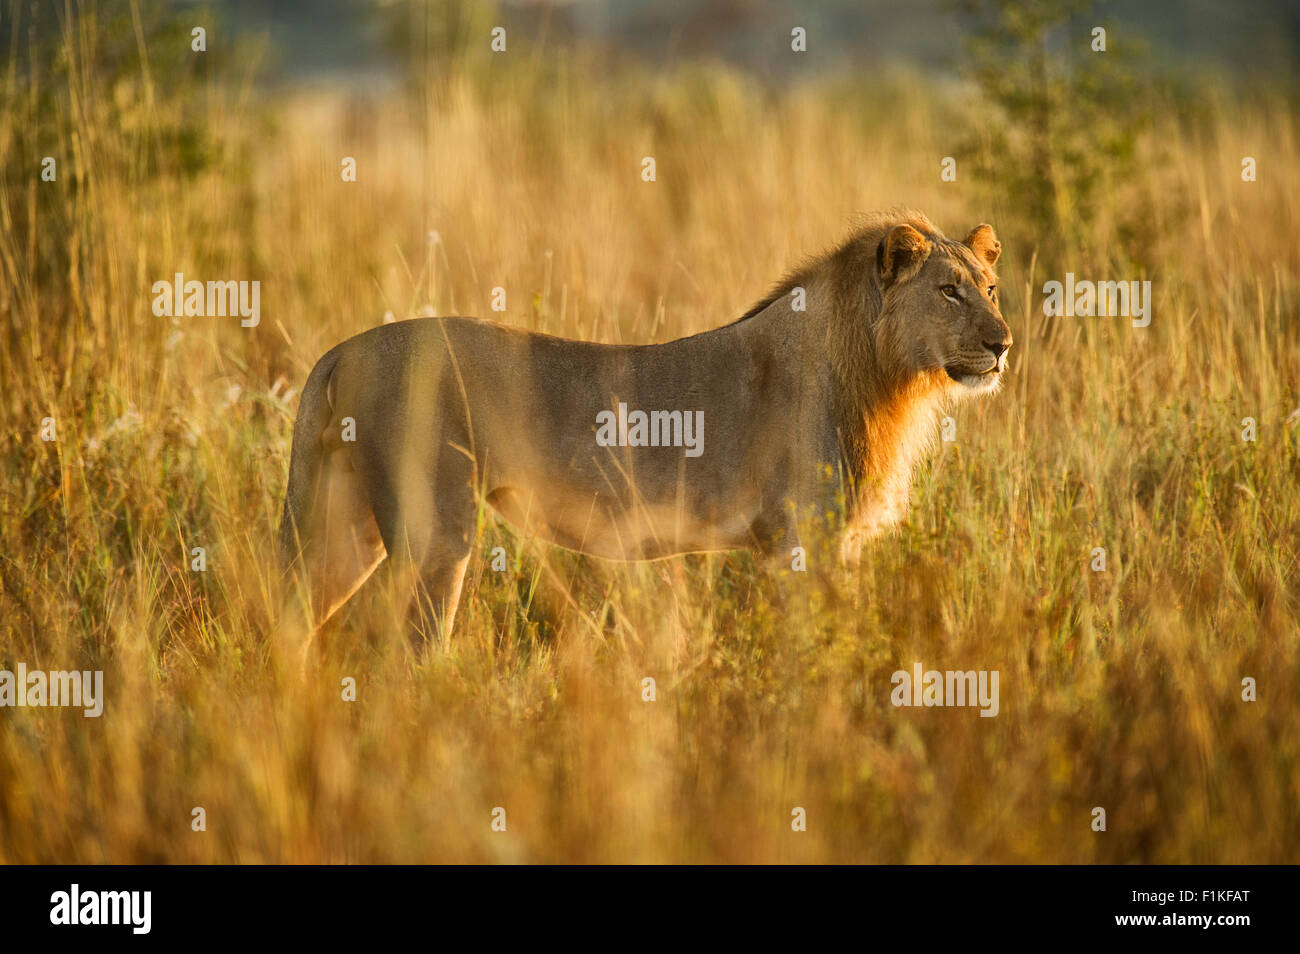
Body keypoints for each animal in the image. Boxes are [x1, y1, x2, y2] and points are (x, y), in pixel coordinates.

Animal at [277, 210, 1011, 644]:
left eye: (990, 288)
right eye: (948, 292)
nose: (1003, 344)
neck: (886, 376)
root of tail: (341, 350)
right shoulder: (805, 541)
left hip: (343, 523)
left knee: (293, 619)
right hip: (437, 532)